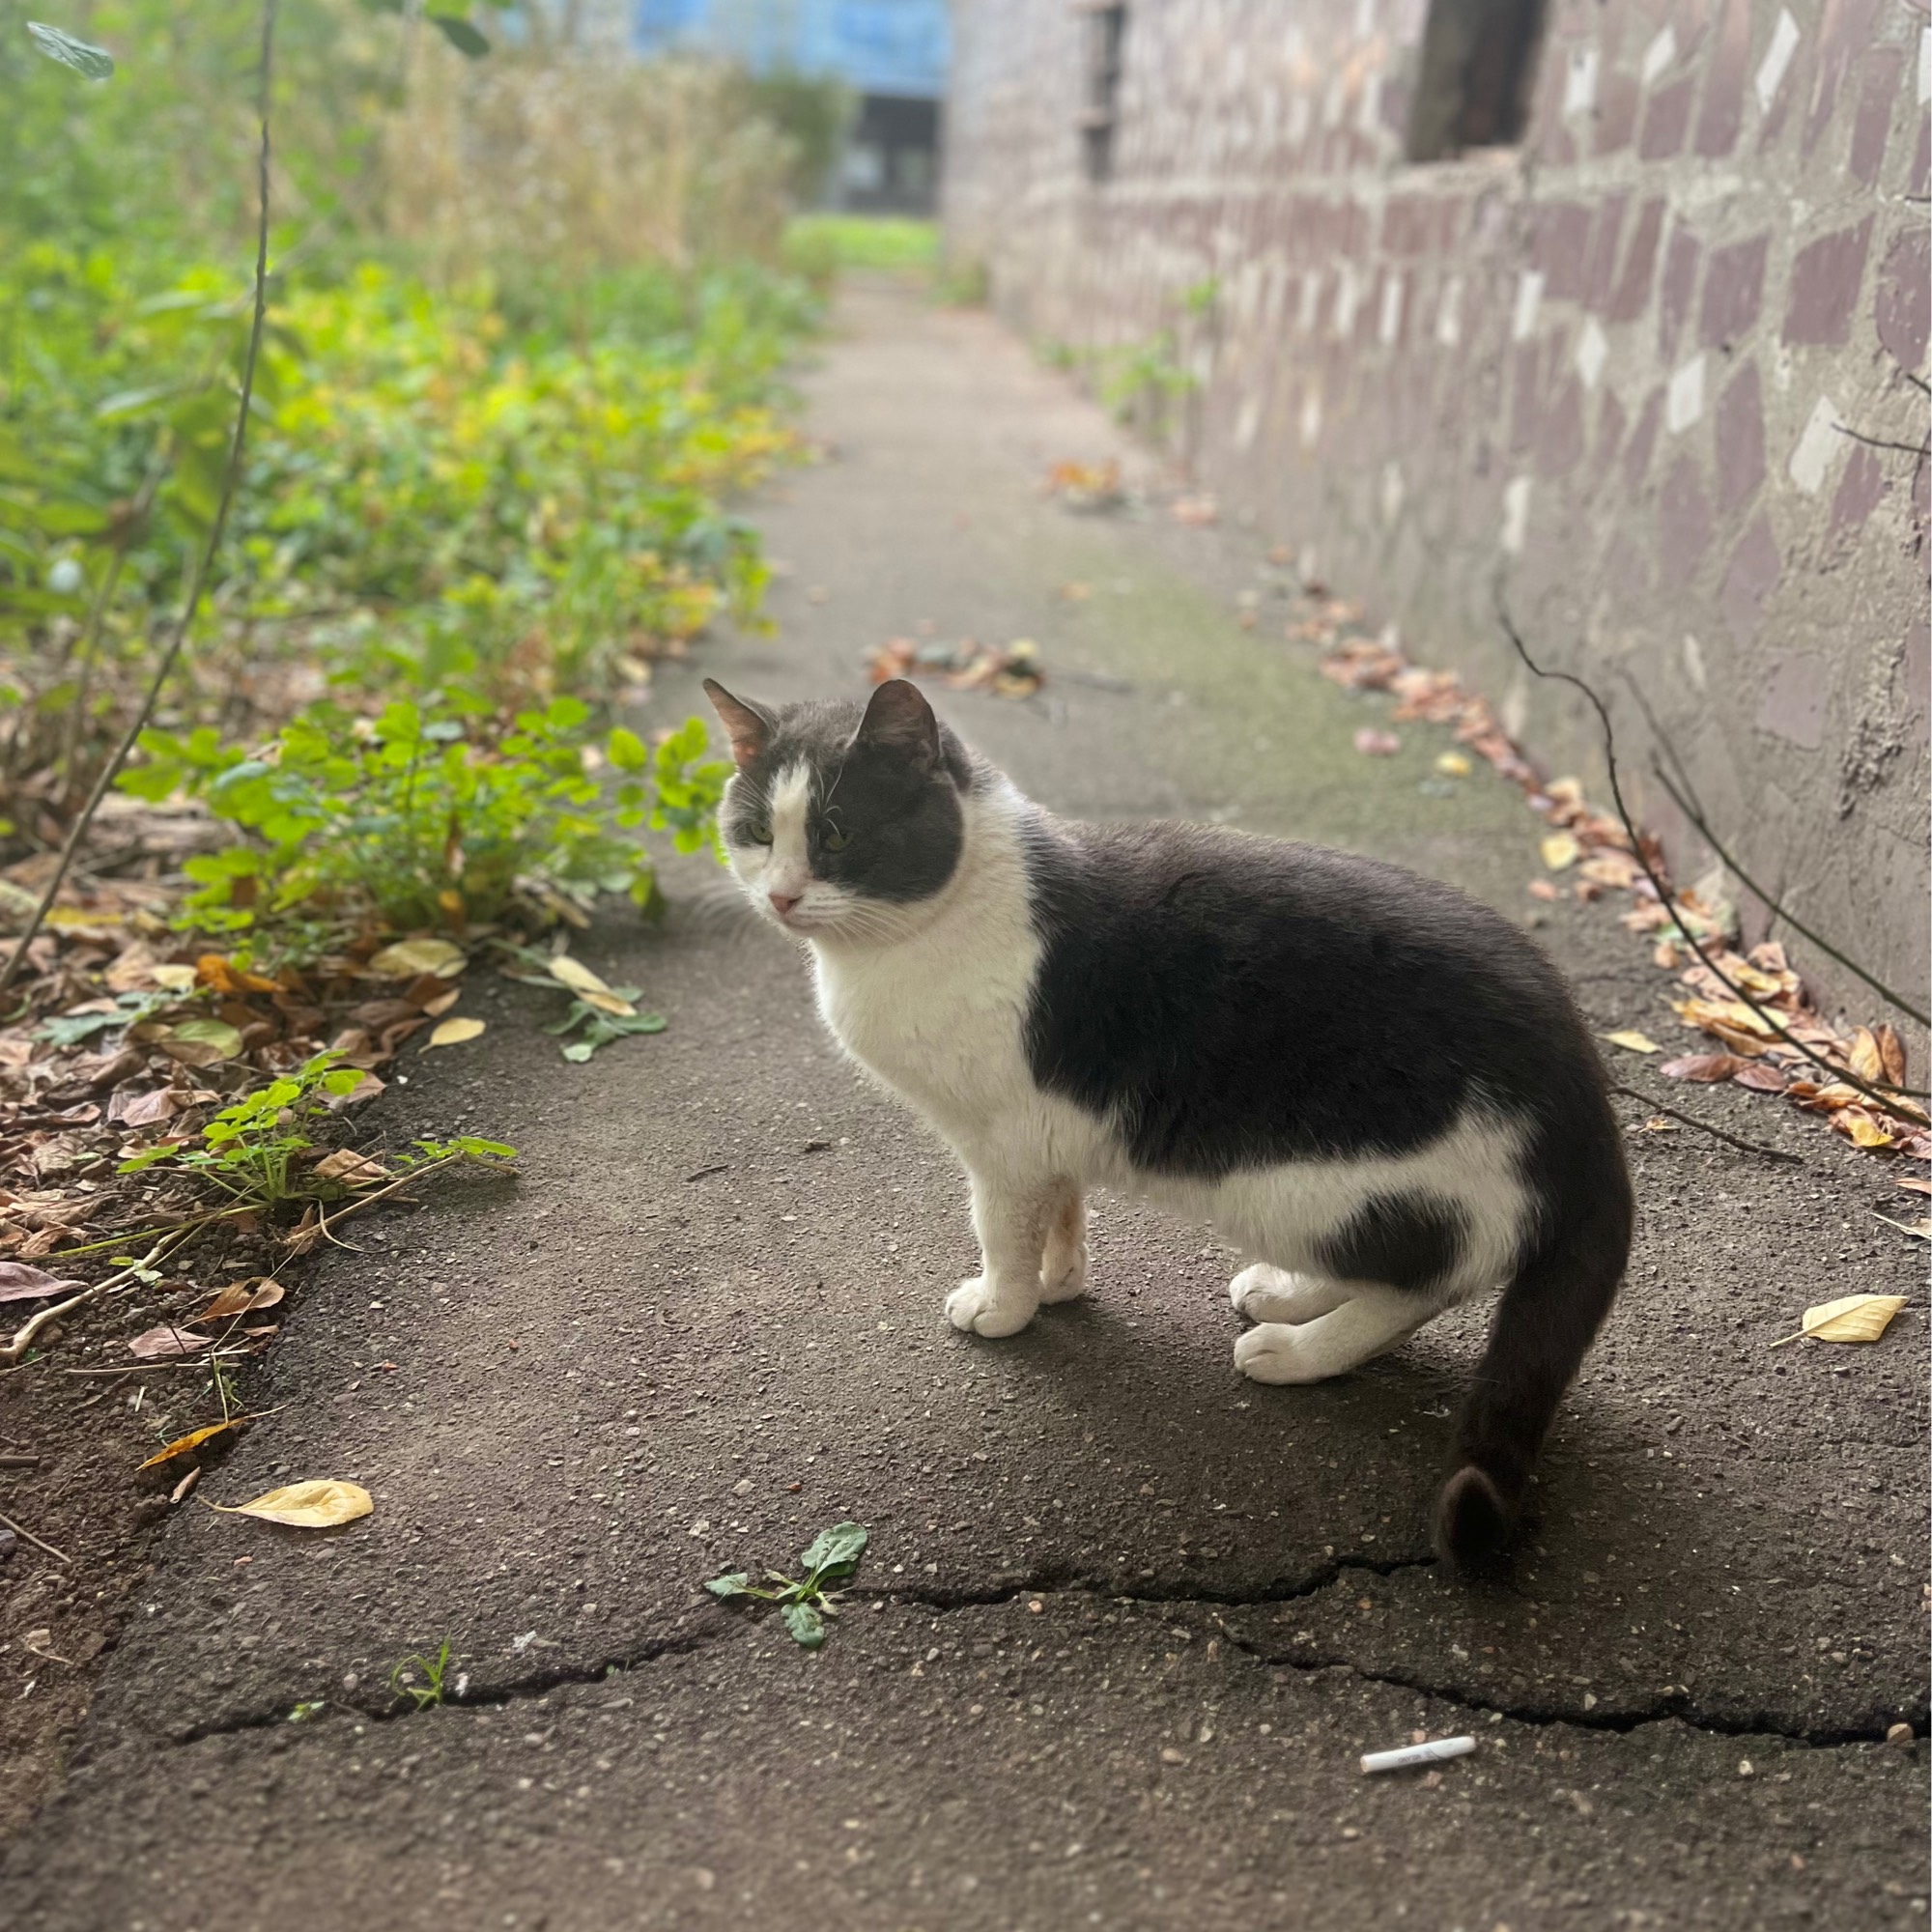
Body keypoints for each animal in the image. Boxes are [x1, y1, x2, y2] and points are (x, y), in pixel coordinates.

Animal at [703, 672, 1638, 1561]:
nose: (781, 896)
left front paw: (1003, 1306)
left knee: (1425, 1280)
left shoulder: (1002, 1143)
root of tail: (1586, 1091)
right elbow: (1061, 1213)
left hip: (1313, 1185)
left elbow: (999, 1230)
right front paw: (1058, 1284)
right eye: (755, 832)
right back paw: (1289, 1297)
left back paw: (1302, 1352)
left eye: (836, 836)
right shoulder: (1050, 1132)